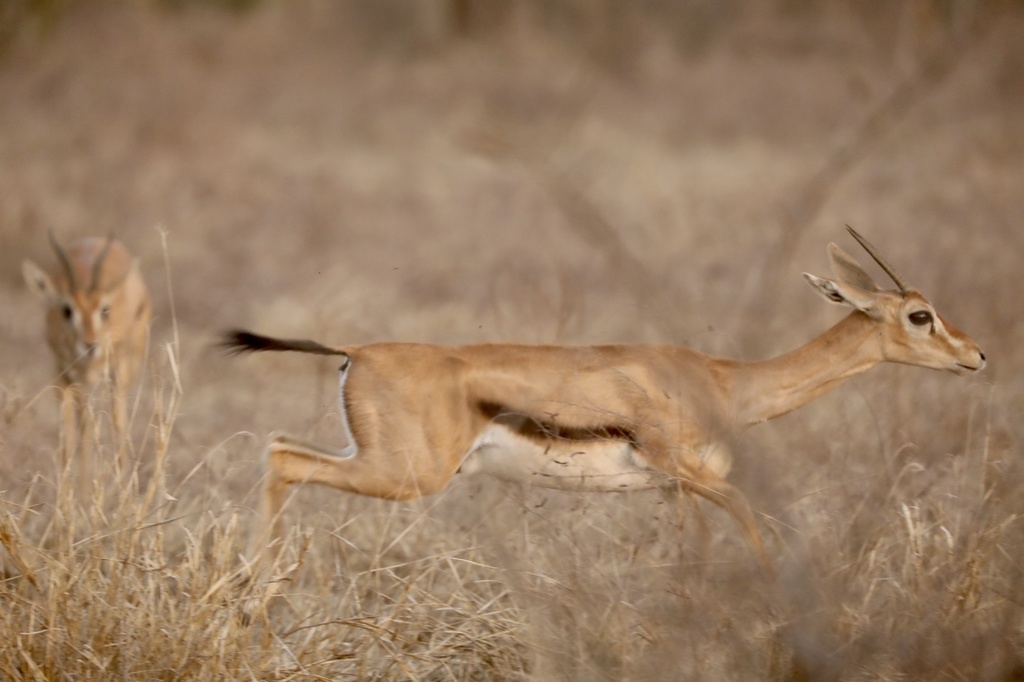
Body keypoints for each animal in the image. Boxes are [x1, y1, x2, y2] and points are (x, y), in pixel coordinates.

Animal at [23, 233, 151, 464]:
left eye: (105, 310)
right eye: (66, 310)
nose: (90, 345)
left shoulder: (117, 371)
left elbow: (118, 426)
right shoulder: (62, 374)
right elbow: (69, 439)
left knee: (113, 423)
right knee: (85, 427)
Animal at [222, 228, 984, 572]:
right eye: (920, 315)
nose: (977, 356)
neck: (723, 380)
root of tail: (355, 350)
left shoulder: (675, 490)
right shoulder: (686, 471)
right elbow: (750, 518)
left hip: (375, 459)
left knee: (278, 446)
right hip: (408, 474)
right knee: (283, 459)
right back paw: (260, 588)